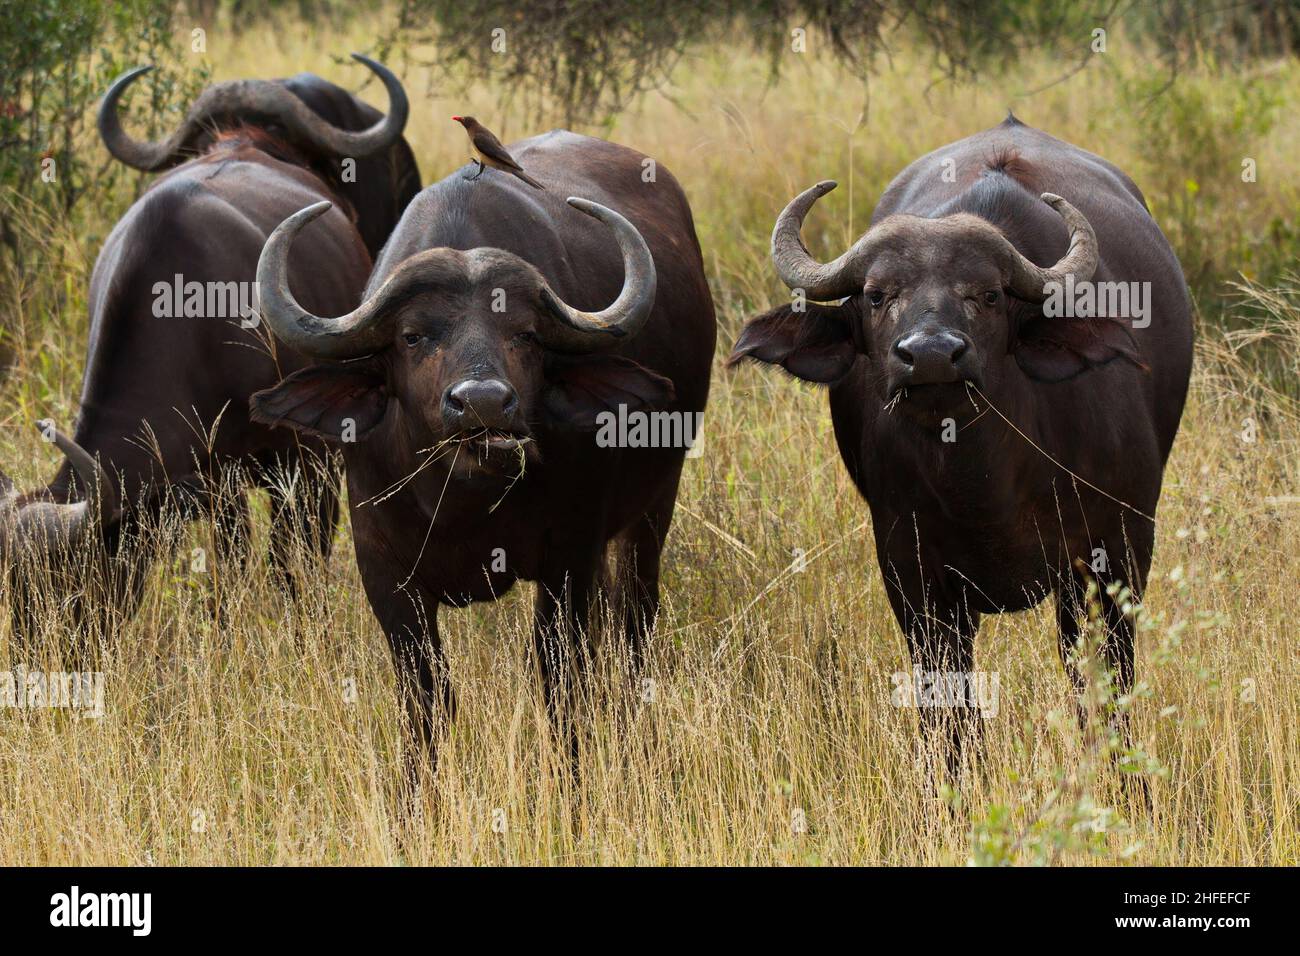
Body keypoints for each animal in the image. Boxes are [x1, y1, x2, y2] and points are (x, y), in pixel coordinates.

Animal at [1, 56, 417, 643]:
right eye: (13, 591)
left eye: (69, 588)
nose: (34, 656)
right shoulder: (215, 486)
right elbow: (234, 561)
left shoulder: (305, 463)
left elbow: (292, 558)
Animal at [250, 132, 715, 776]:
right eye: (413, 335)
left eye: (525, 334)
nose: (483, 403)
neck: (463, 501)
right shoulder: (384, 572)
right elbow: (426, 696)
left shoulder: (571, 557)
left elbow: (560, 682)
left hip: (653, 508)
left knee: (631, 627)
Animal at [729, 115, 1193, 771]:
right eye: (877, 294)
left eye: (988, 294)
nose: (929, 355)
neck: (985, 484)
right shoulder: (913, 575)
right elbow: (946, 706)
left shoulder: (1118, 551)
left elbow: (1108, 685)